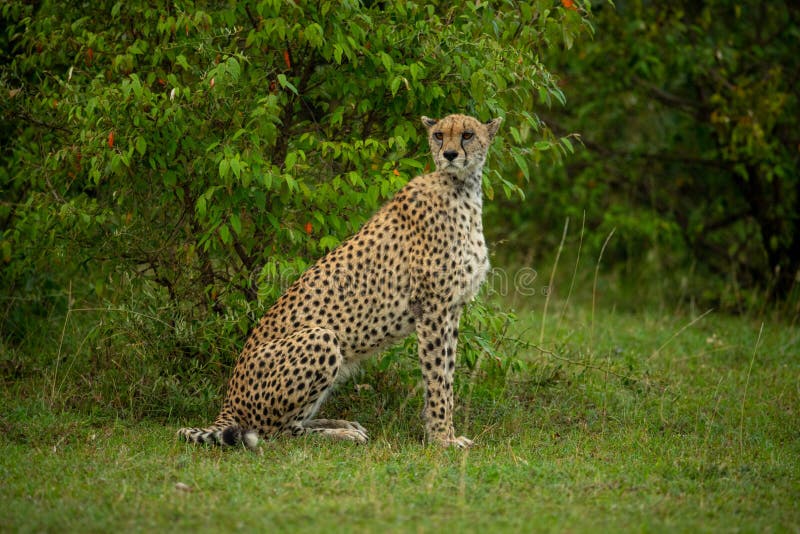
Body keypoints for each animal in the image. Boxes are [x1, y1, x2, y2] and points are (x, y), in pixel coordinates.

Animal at [178, 113, 502, 450]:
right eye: (439, 135)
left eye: (467, 134)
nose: (449, 154)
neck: (462, 188)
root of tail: (227, 402)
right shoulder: (432, 308)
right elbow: (438, 377)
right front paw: (442, 438)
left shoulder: (451, 308)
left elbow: (447, 372)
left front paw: (441, 431)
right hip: (322, 337)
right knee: (275, 432)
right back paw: (341, 433)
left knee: (291, 423)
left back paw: (343, 424)